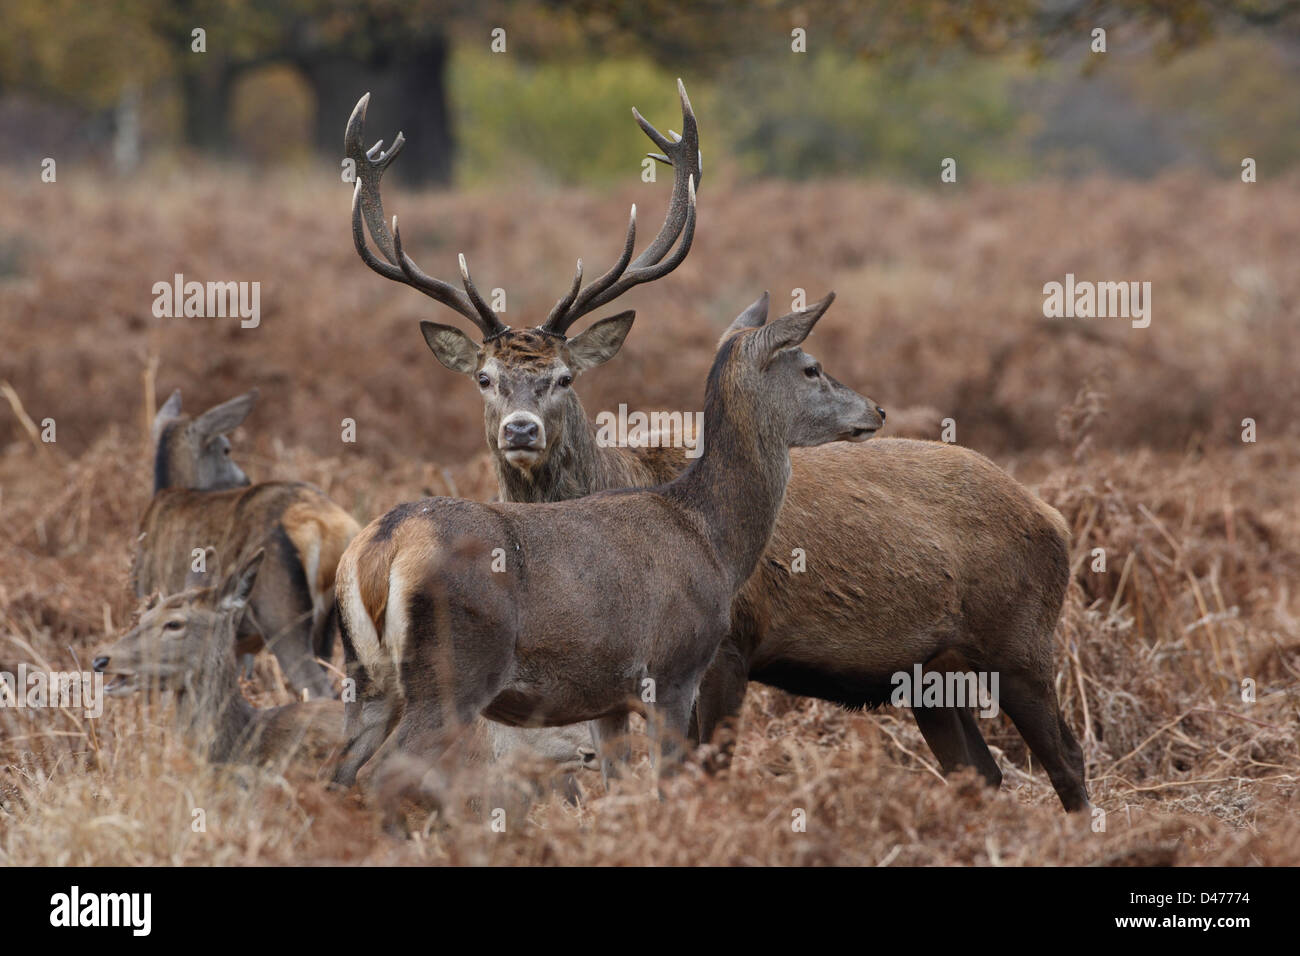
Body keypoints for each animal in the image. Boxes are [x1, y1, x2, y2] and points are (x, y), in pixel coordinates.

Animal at [332, 292, 884, 819]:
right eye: (811, 366)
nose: (875, 410)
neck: (713, 540)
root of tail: (382, 546)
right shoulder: (672, 671)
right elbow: (667, 785)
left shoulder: (604, 696)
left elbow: (617, 784)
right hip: (454, 671)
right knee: (383, 776)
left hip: (367, 676)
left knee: (338, 772)